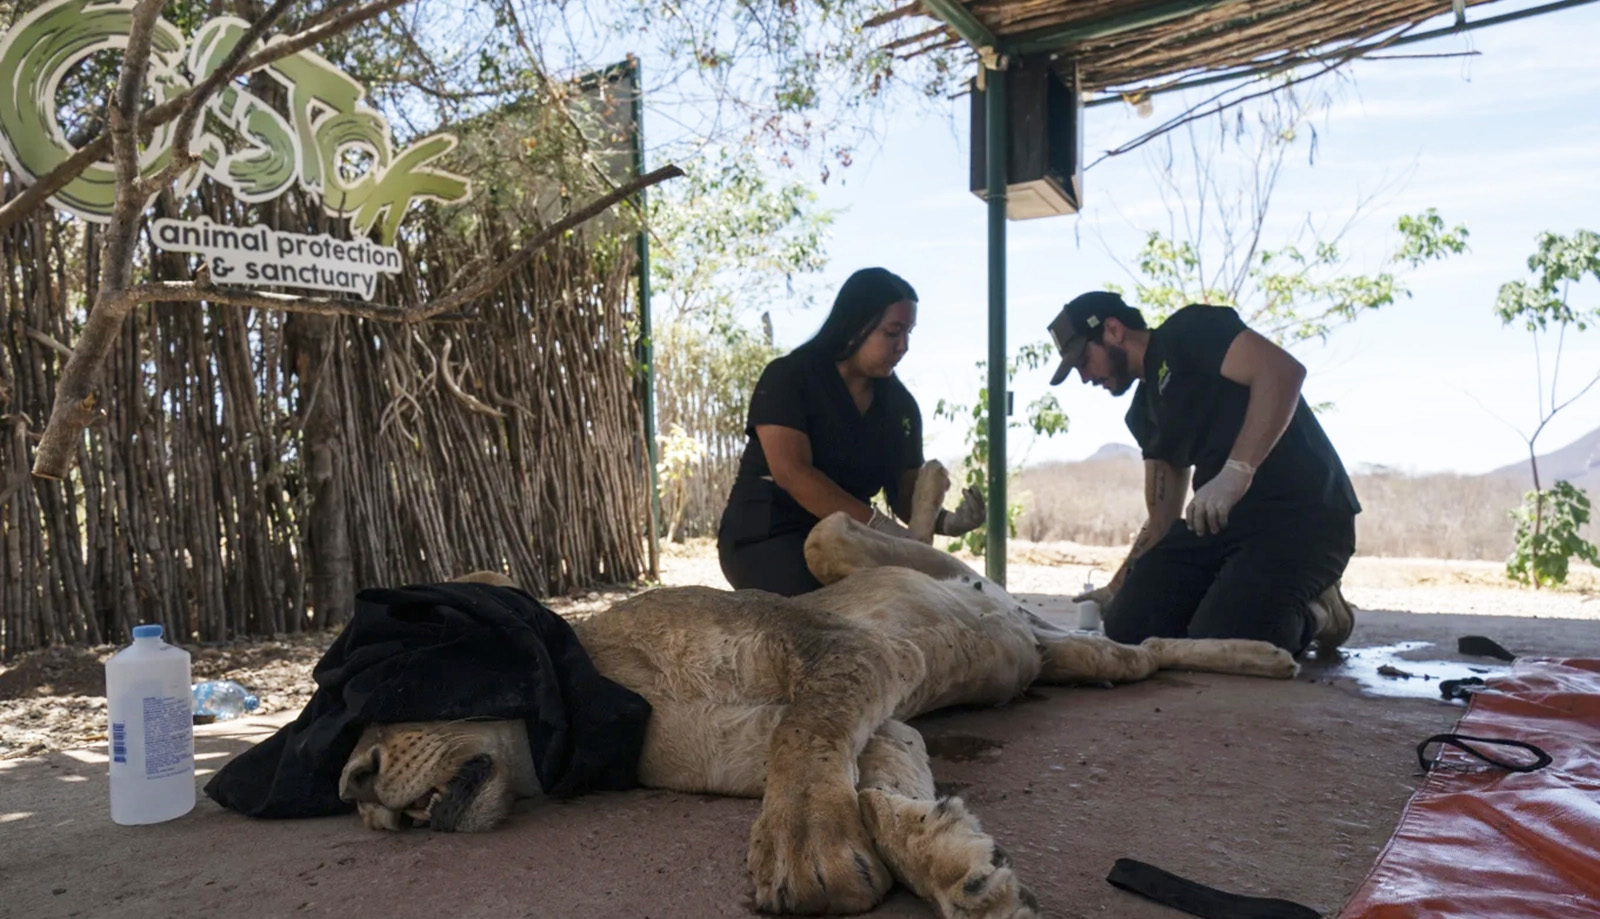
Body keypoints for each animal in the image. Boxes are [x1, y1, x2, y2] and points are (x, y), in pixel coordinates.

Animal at [336, 462, 1297, 918]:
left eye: (401, 681)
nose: (353, 785)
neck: (620, 690)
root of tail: (1018, 616)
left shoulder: (846, 647)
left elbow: (808, 737)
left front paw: (803, 849)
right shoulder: (869, 720)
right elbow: (869, 783)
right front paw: (955, 866)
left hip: (836, 545)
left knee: (866, 529)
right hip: (1060, 659)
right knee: (1141, 648)